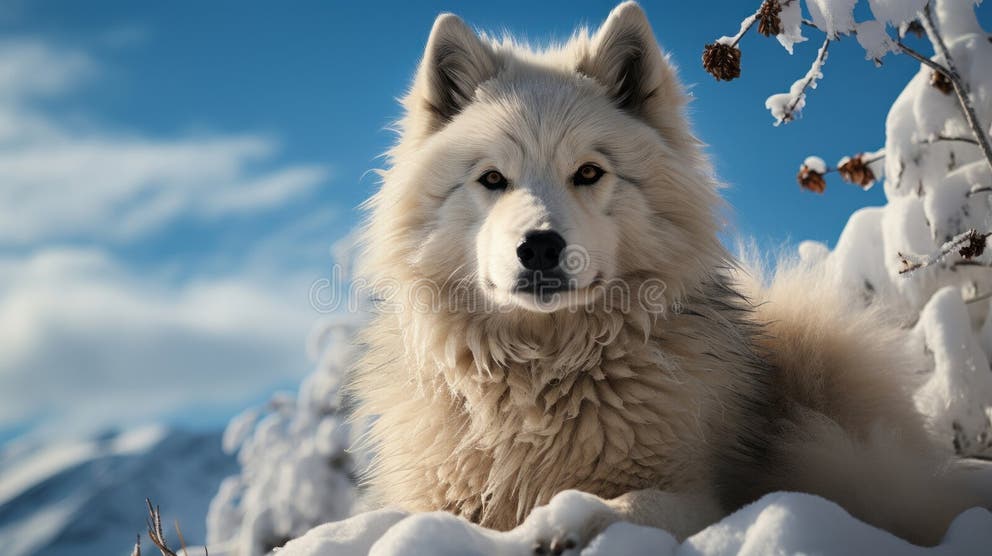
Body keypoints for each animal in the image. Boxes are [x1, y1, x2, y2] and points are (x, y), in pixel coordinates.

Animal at [348, 2, 989, 550]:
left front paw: (561, 522)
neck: (539, 378)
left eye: (588, 172)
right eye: (491, 179)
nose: (539, 247)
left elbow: (630, 504)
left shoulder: (696, 497)